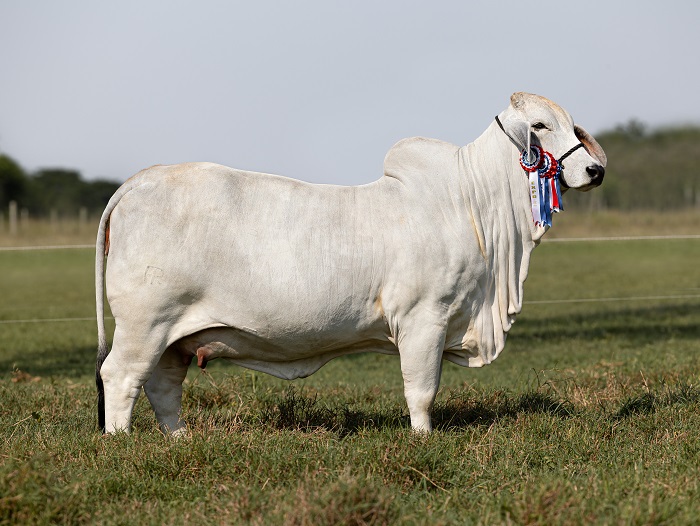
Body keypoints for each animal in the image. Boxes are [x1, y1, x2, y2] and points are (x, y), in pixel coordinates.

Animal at [95, 92, 606, 435]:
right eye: (540, 125)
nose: (595, 170)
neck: (472, 203)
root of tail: (139, 181)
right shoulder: (424, 317)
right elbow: (421, 390)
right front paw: (423, 439)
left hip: (172, 337)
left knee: (163, 387)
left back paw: (180, 440)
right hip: (145, 322)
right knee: (120, 377)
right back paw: (121, 443)